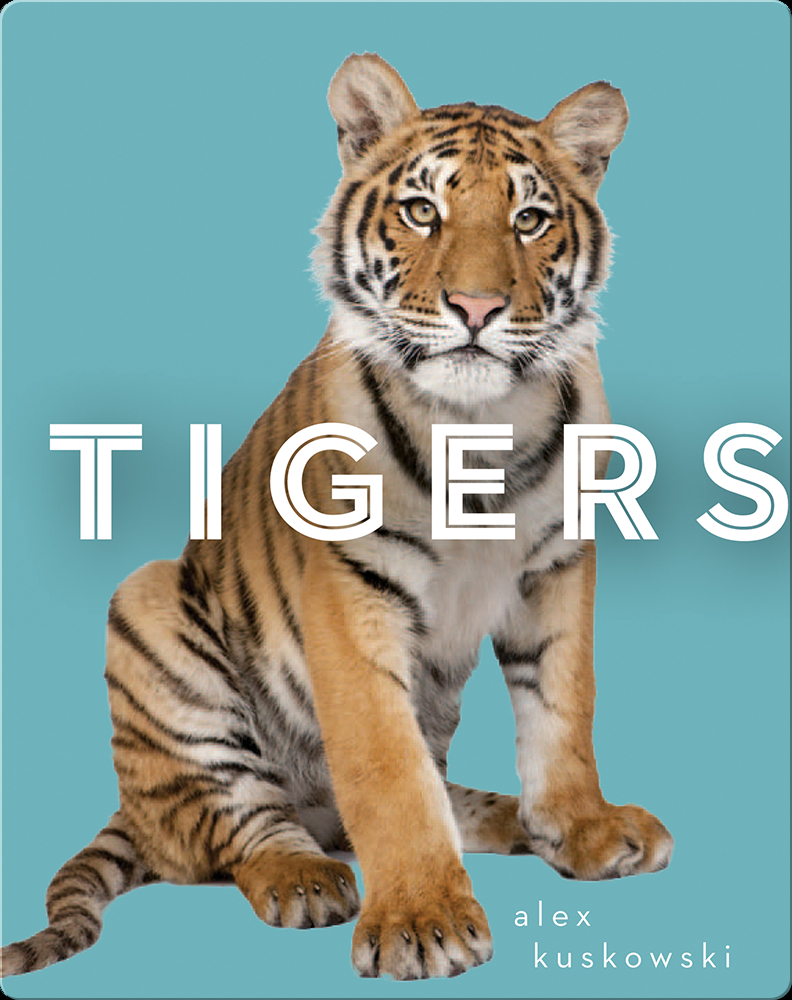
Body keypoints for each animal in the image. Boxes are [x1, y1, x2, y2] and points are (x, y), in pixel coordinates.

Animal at [1, 53, 673, 982]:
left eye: (530, 220)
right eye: (424, 210)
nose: (476, 308)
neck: (479, 425)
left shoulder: (557, 562)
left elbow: (563, 709)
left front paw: (582, 828)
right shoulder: (352, 588)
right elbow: (385, 768)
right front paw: (424, 920)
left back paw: (512, 822)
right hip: (149, 610)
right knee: (237, 827)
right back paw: (305, 877)